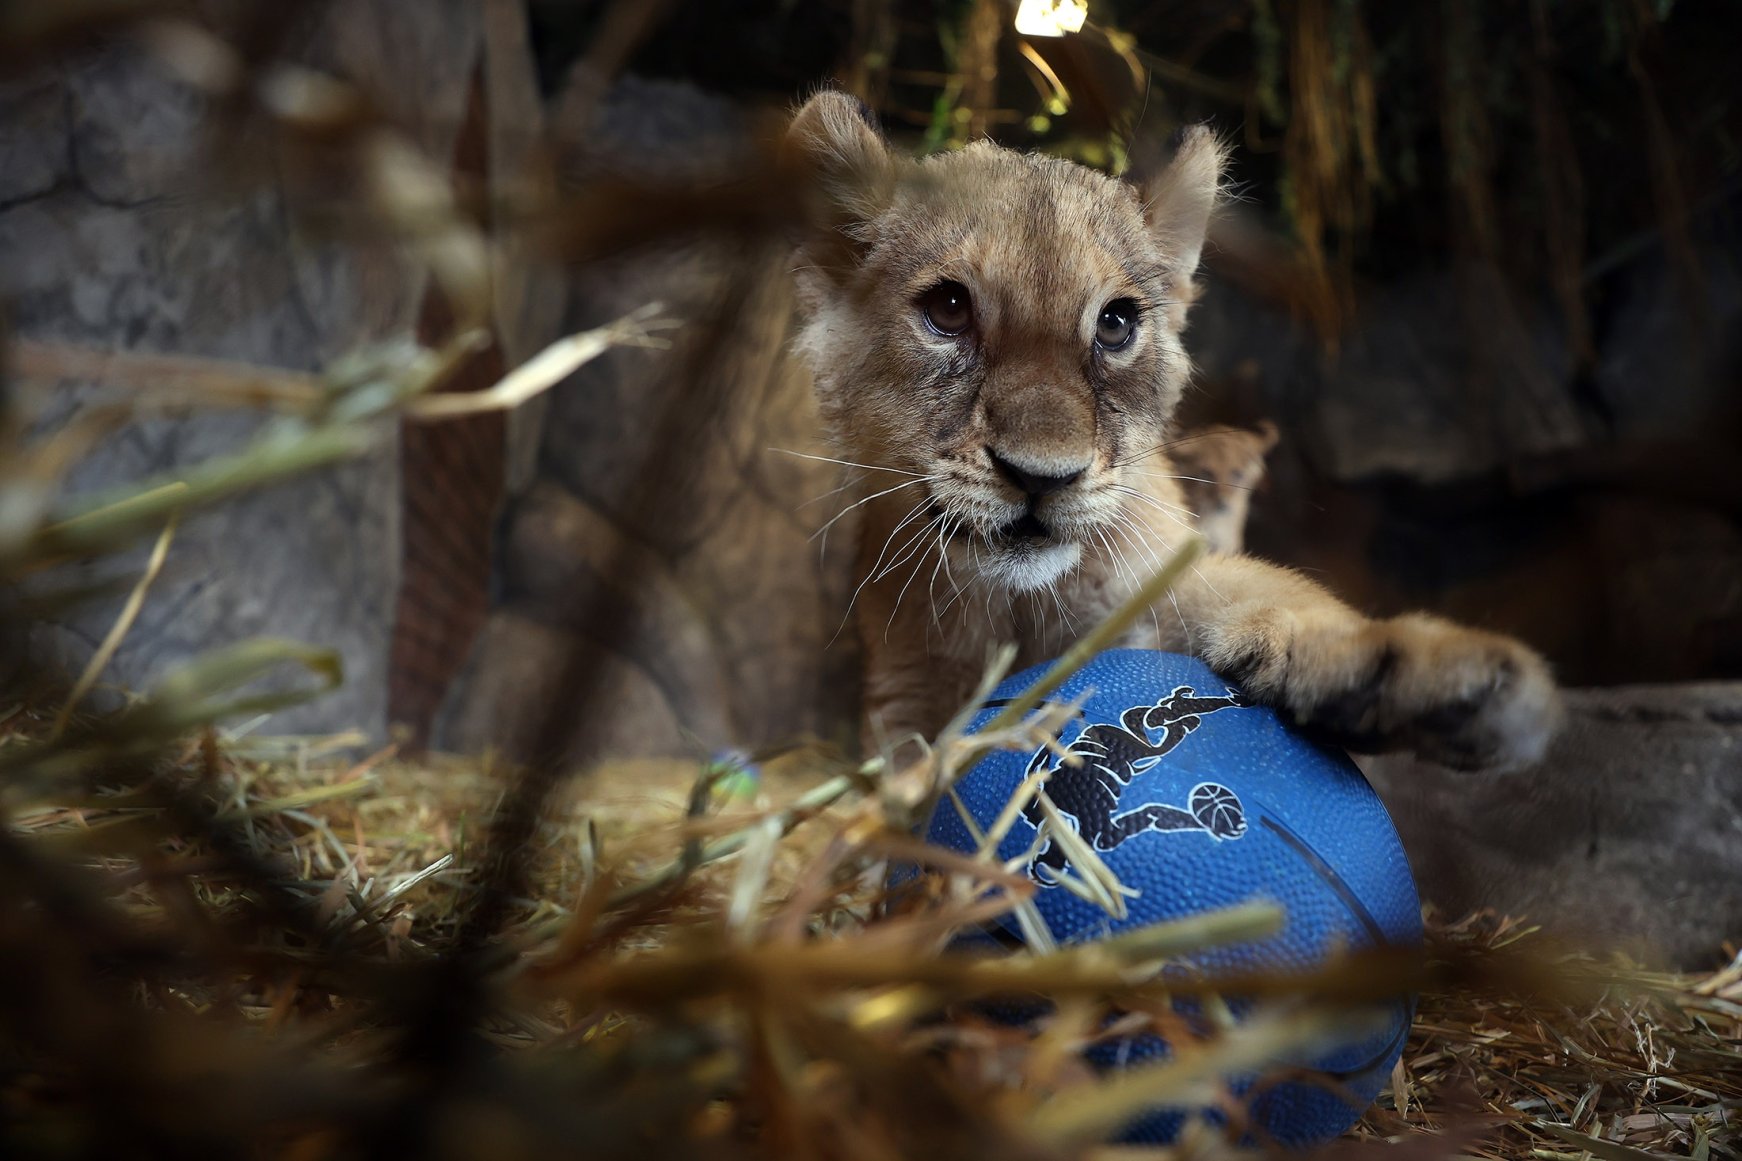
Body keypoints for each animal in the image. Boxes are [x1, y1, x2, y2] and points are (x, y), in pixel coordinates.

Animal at [785, 91, 1560, 771]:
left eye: (1116, 323)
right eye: (948, 310)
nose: (1041, 477)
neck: (1017, 606)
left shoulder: (1159, 583)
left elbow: (1267, 590)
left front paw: (1414, 675)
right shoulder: (904, 691)